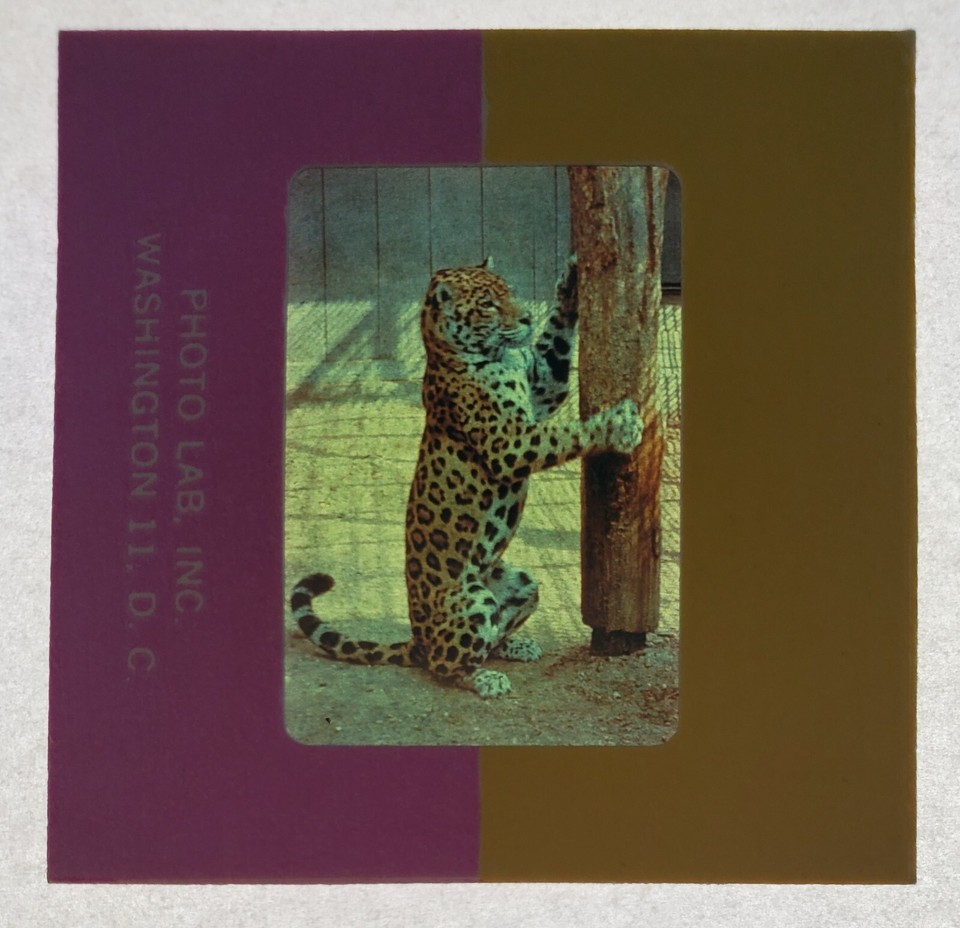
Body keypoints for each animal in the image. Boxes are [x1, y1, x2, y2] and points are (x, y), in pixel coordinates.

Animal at [291, 257, 643, 697]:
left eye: (509, 292)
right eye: (488, 304)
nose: (527, 317)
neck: (493, 354)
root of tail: (418, 639)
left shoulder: (542, 385)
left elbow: (556, 342)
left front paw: (571, 283)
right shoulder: (510, 443)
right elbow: (564, 434)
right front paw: (619, 425)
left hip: (520, 581)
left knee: (490, 635)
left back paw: (515, 647)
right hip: (471, 598)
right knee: (443, 665)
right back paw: (483, 678)